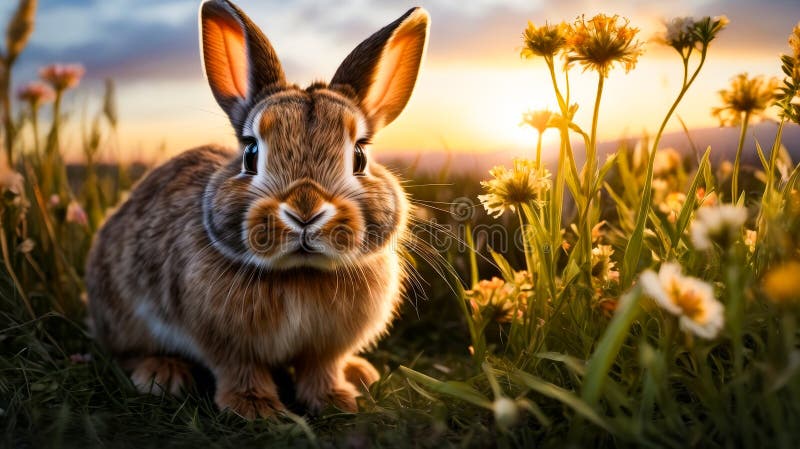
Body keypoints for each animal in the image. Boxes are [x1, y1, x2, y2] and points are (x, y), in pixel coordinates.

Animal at [85, 0, 429, 419]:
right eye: (251, 153)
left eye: (359, 157)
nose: (304, 210)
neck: (299, 273)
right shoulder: (224, 340)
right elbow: (239, 369)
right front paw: (255, 408)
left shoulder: (326, 346)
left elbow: (322, 368)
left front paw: (335, 400)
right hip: (123, 312)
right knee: (125, 352)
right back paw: (162, 373)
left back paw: (360, 373)